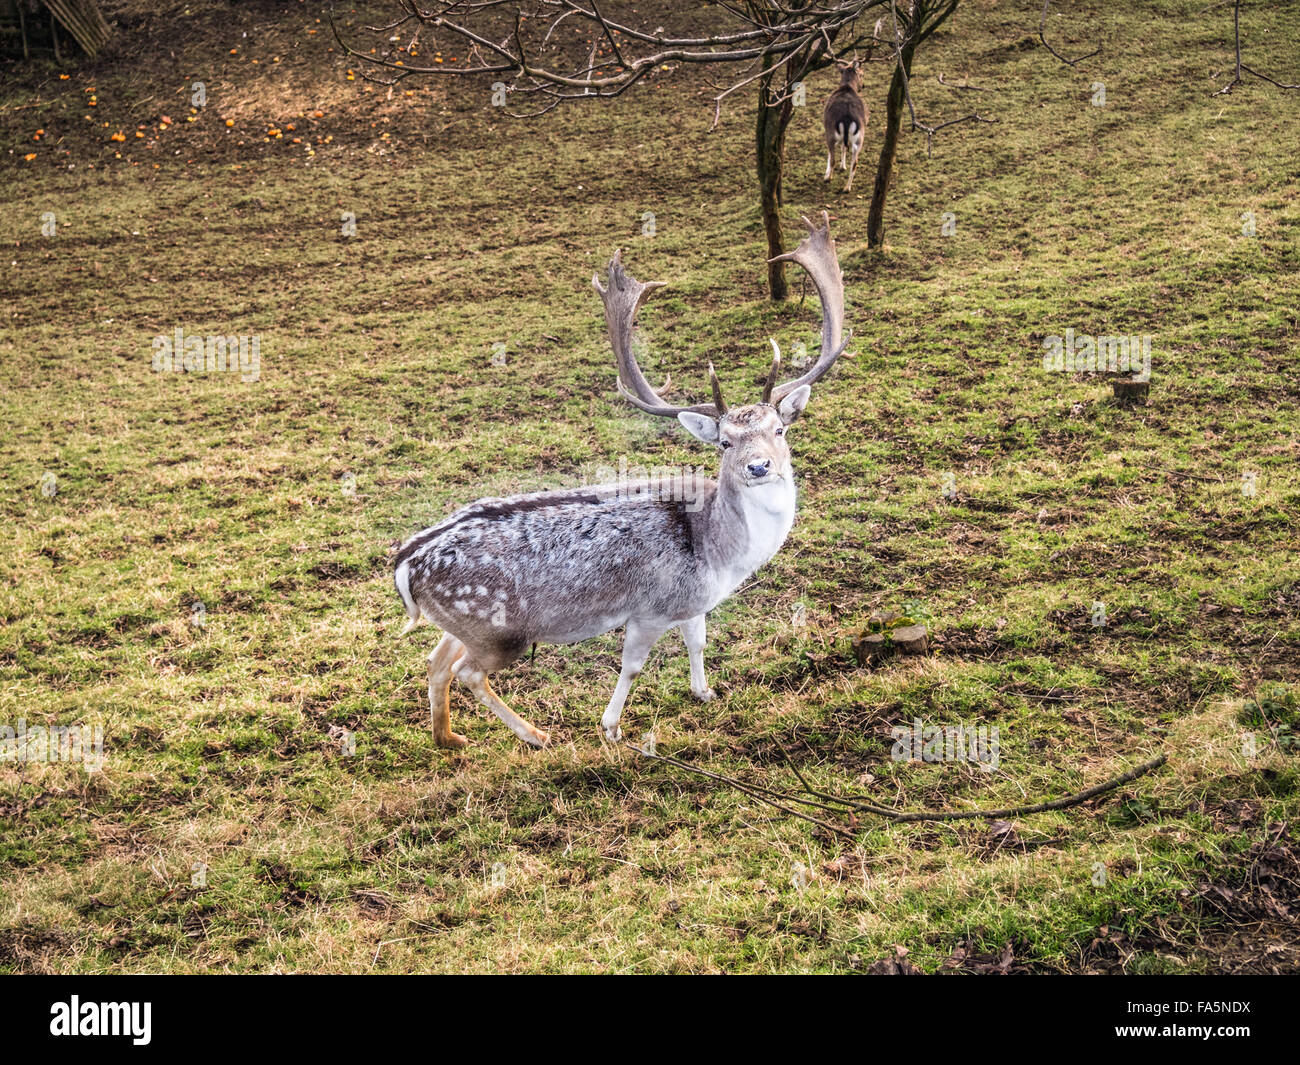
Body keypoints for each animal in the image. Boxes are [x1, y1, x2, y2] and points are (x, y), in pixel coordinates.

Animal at [392, 213, 848, 750]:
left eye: (779, 429)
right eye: (724, 442)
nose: (760, 467)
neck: (720, 554)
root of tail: (405, 564)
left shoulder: (692, 604)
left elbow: (698, 642)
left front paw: (705, 692)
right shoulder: (649, 609)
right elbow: (632, 666)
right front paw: (610, 726)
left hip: (463, 625)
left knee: (434, 661)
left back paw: (449, 739)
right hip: (499, 632)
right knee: (468, 673)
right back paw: (536, 735)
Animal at [823, 59, 867, 191]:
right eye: (862, 74)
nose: (863, 86)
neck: (847, 87)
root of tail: (847, 118)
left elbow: (831, 154)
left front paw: (827, 174)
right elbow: (844, 147)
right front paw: (843, 166)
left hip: (831, 133)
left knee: (832, 158)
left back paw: (829, 178)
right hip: (859, 138)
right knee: (855, 162)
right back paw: (847, 188)